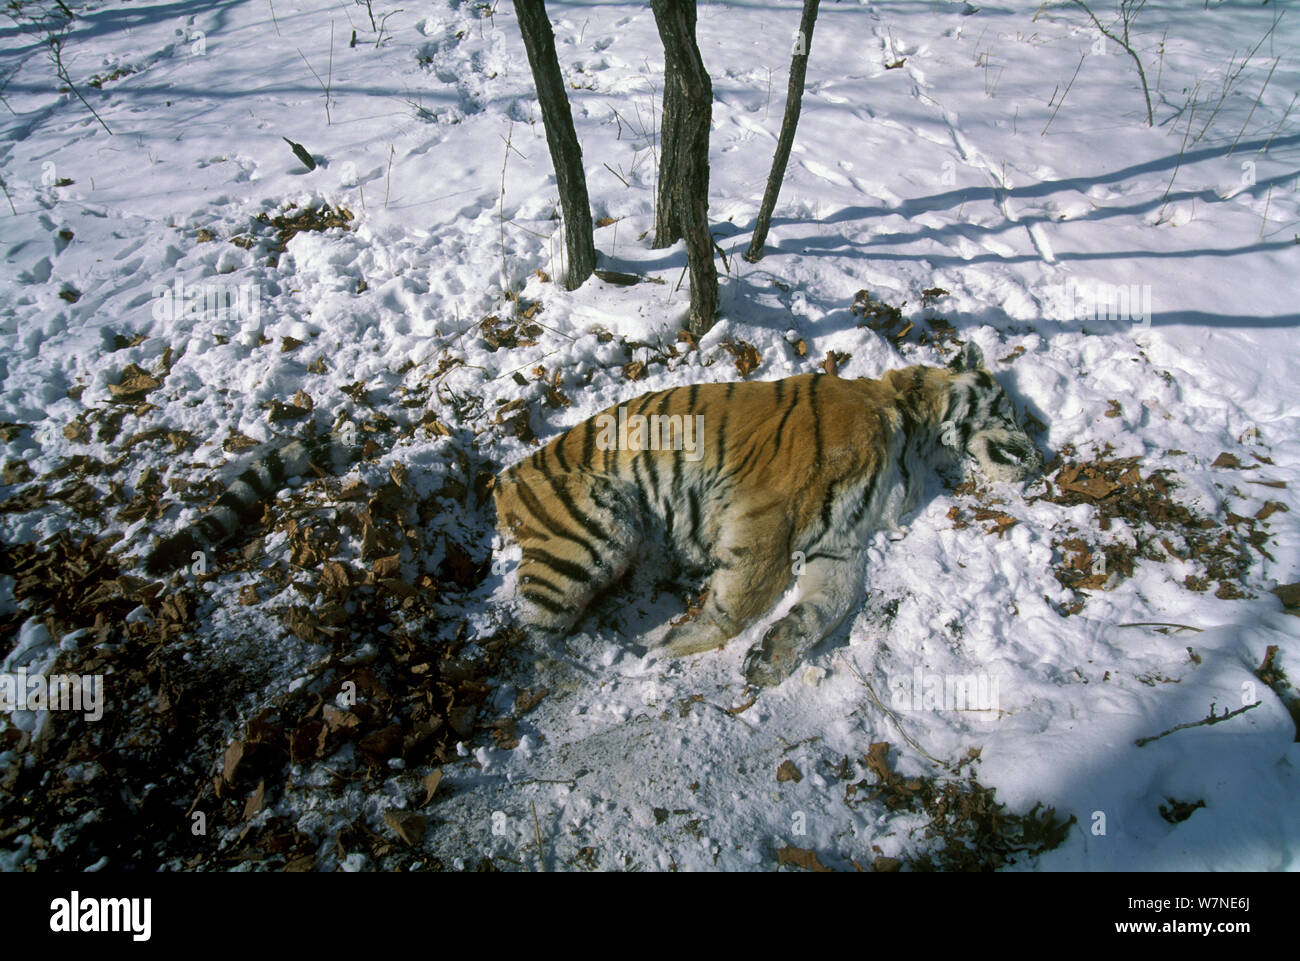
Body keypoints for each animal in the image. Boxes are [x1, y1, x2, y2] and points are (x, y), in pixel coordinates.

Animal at [494, 341, 1043, 688]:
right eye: (1011, 412)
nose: (1041, 458)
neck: (912, 430)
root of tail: (502, 477)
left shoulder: (839, 538)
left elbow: (830, 603)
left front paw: (773, 655)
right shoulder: (769, 507)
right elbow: (743, 595)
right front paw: (672, 645)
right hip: (594, 530)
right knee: (533, 636)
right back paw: (596, 666)